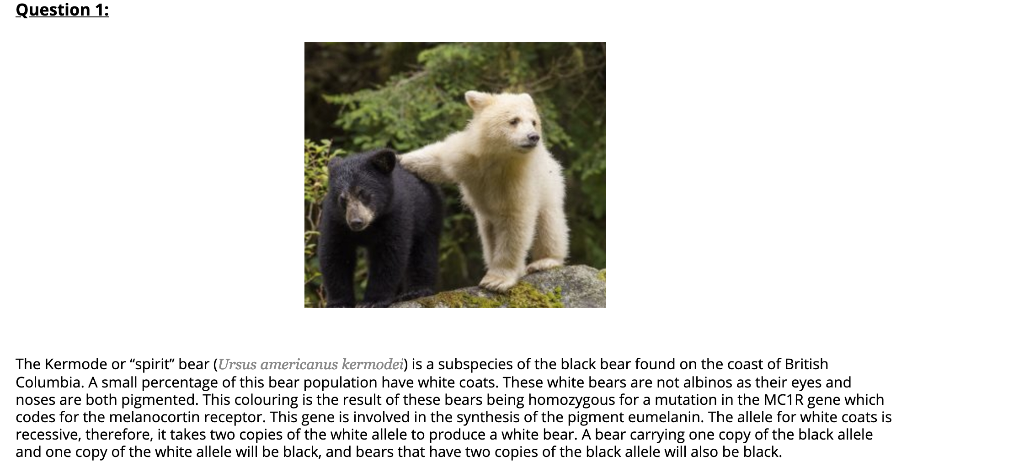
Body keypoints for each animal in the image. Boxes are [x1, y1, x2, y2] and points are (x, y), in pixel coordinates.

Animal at [318, 148, 443, 307]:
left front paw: (373, 300)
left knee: (423, 251)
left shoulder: (394, 214)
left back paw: (416, 290)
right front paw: (339, 302)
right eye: (342, 198)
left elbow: (389, 253)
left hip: (428, 213)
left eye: (364, 194)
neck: (370, 226)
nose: (356, 222)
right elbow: (336, 254)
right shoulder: (336, 220)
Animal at [399, 91, 569, 292]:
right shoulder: (469, 156)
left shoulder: (516, 180)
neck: (498, 159)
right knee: (488, 236)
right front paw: (398, 158)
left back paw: (545, 261)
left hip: (549, 185)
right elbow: (436, 159)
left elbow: (515, 221)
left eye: (534, 121)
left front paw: (497, 280)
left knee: (549, 222)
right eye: (514, 120)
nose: (533, 136)